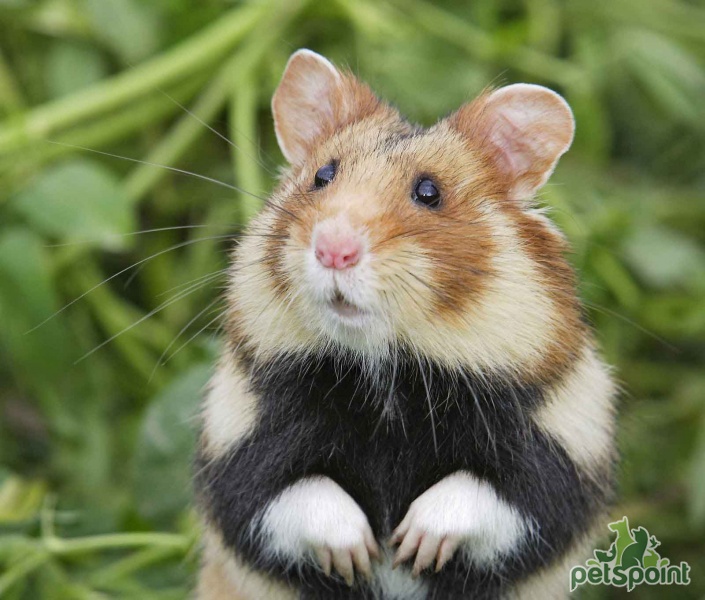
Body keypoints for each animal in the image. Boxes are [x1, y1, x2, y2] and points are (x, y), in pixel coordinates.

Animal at [194, 49, 617, 600]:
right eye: (322, 176)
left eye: (429, 192)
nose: (333, 249)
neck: (385, 369)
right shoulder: (241, 449)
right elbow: (299, 494)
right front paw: (359, 555)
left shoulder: (556, 460)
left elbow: (482, 493)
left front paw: (412, 547)